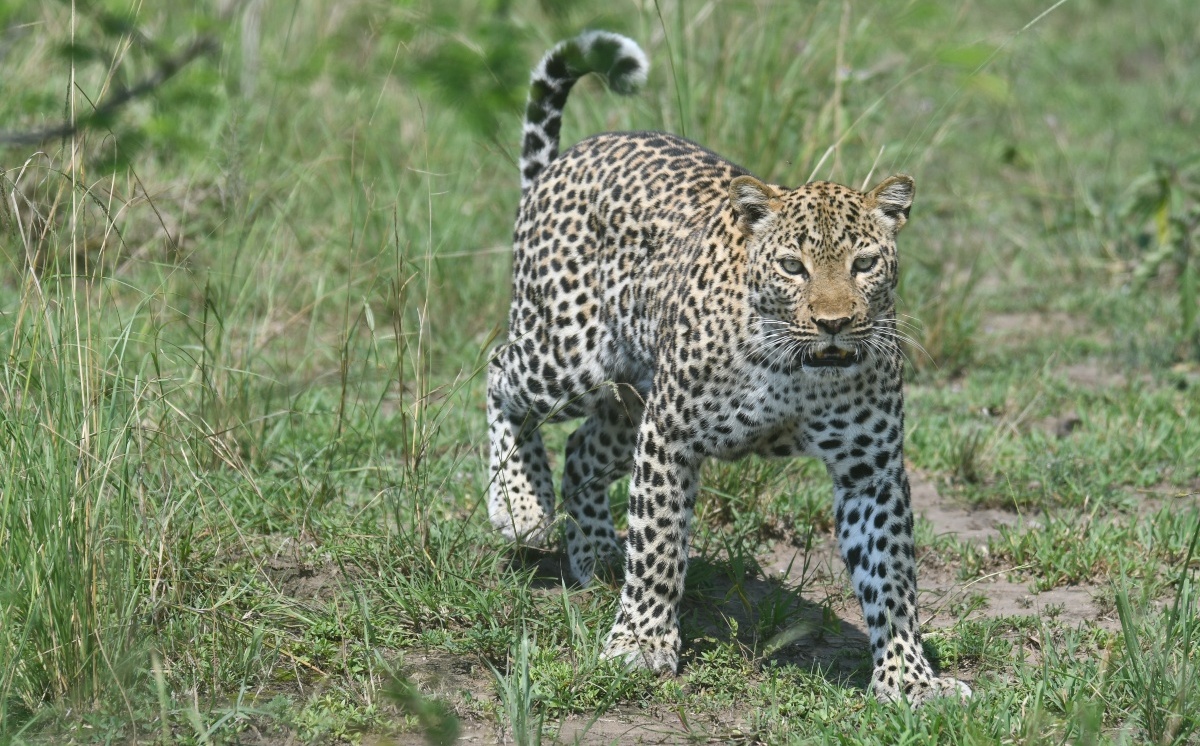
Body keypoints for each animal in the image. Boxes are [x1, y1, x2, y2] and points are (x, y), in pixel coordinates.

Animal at [486, 29, 971, 705]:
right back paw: (519, 505)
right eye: (793, 266)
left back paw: (599, 557)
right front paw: (641, 644)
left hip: (631, 398)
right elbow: (660, 544)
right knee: (499, 372)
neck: (801, 373)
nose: (834, 322)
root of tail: (564, 160)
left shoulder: (869, 468)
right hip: (565, 354)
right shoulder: (670, 436)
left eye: (865, 263)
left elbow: (892, 577)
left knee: (582, 449)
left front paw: (910, 677)